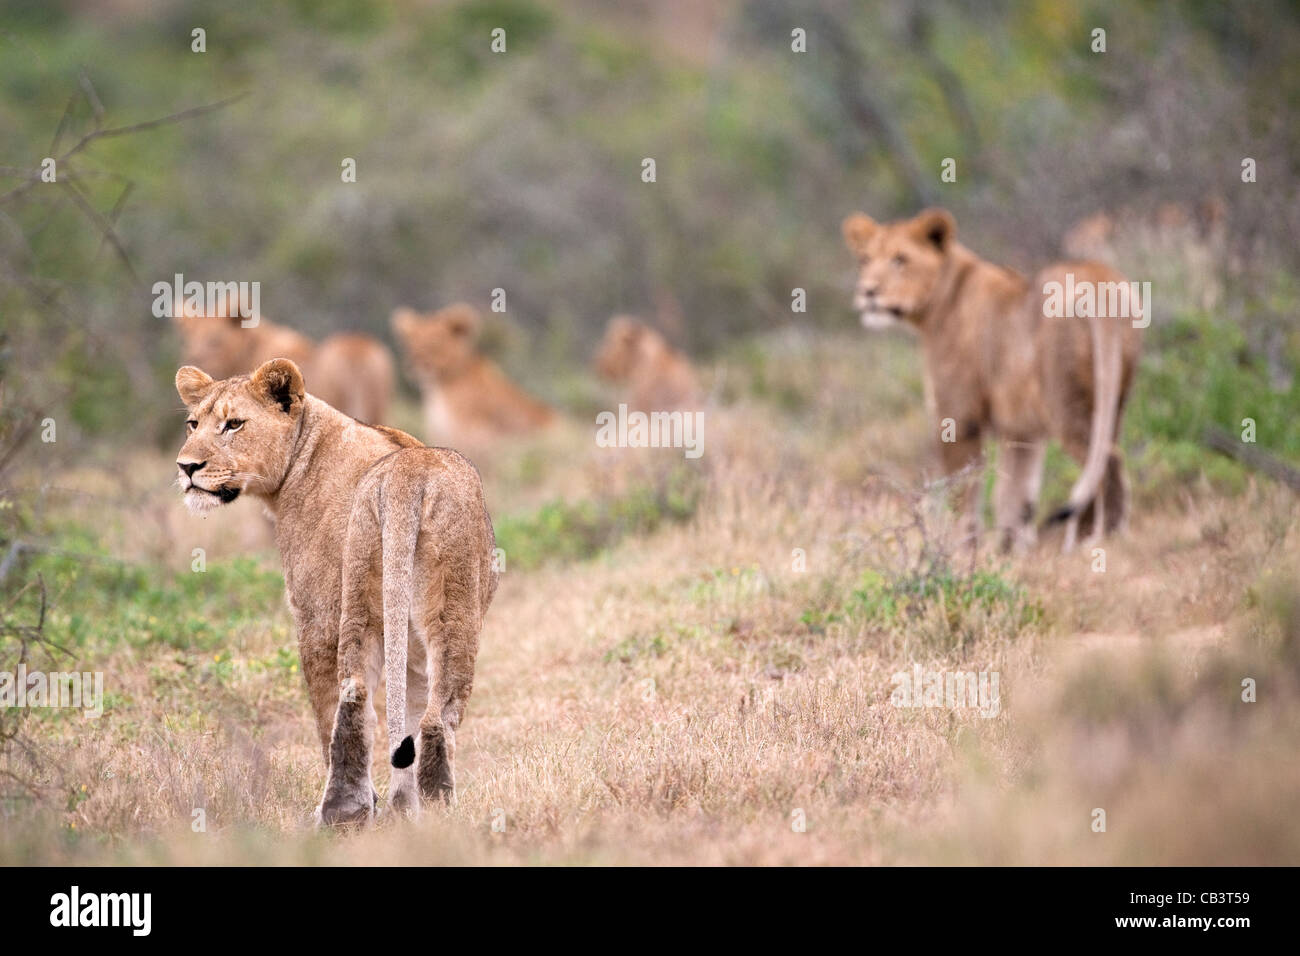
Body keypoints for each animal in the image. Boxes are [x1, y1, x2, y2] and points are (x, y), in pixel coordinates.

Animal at [174, 358, 497, 825]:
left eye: (233, 424)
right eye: (192, 423)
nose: (186, 467)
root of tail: (405, 477)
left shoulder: (316, 615)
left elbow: (326, 715)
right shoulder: (410, 648)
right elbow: (407, 716)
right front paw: (402, 808)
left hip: (359, 611)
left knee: (374, 706)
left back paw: (353, 812)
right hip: (413, 606)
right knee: (416, 711)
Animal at [842, 207, 1143, 553]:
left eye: (900, 259)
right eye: (865, 259)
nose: (867, 292)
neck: (944, 298)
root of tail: (1098, 276)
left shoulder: (959, 417)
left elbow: (964, 492)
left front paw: (960, 550)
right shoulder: (1021, 430)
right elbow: (1016, 495)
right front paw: (1011, 551)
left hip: (1065, 400)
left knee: (1107, 463)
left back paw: (1093, 543)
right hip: (1114, 398)